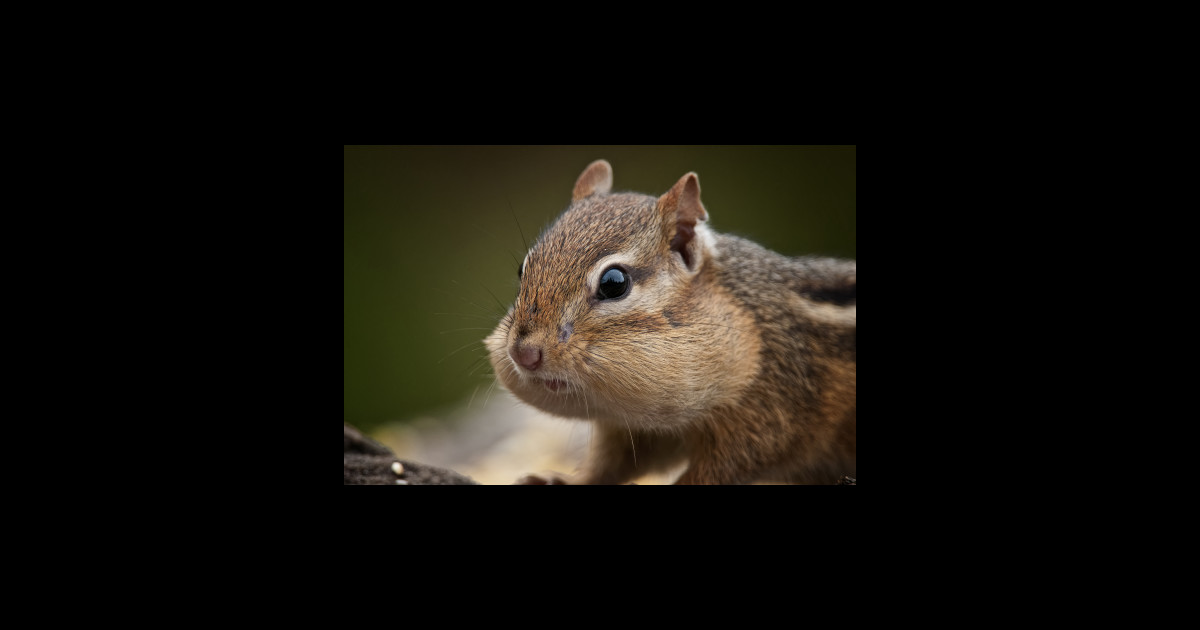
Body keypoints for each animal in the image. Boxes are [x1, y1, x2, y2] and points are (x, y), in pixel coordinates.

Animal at [484, 159, 855, 484]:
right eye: (522, 270)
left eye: (614, 283)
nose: (524, 354)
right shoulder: (639, 430)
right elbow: (615, 465)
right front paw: (558, 480)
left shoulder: (770, 412)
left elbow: (730, 464)